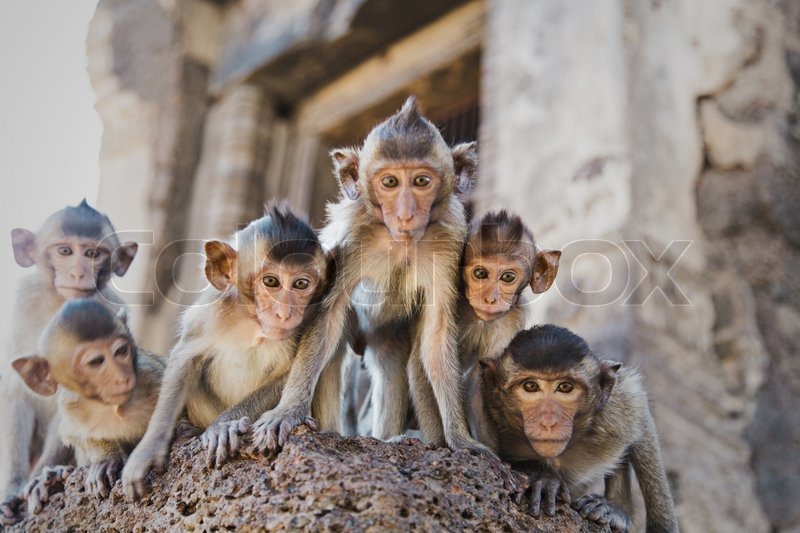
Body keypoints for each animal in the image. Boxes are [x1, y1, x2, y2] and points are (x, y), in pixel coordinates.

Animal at [0, 200, 137, 523]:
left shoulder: (111, 308)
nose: (77, 273)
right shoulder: (26, 301)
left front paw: (39, 479)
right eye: (64, 251)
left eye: (92, 254)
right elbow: (16, 392)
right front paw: (12, 490)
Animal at [6, 299, 164, 521]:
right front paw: (106, 458)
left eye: (120, 351)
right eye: (96, 361)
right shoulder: (70, 403)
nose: (122, 377)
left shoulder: (151, 376)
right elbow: (74, 435)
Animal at [121, 203, 330, 500]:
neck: (253, 323)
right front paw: (147, 451)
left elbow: (289, 373)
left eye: (301, 284)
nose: (284, 313)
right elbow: (185, 359)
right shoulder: (210, 311)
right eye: (271, 281)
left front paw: (222, 425)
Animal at [252, 97, 520, 491]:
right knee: (334, 353)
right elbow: (328, 316)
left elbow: (437, 336)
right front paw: (287, 413)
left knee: (396, 365)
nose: (406, 214)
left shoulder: (447, 245)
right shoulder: (353, 237)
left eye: (421, 181)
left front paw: (462, 440)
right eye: (390, 182)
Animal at [471, 324, 678, 532]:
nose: (548, 421)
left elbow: (643, 423)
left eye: (565, 387)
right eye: (530, 386)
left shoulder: (619, 407)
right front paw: (544, 479)